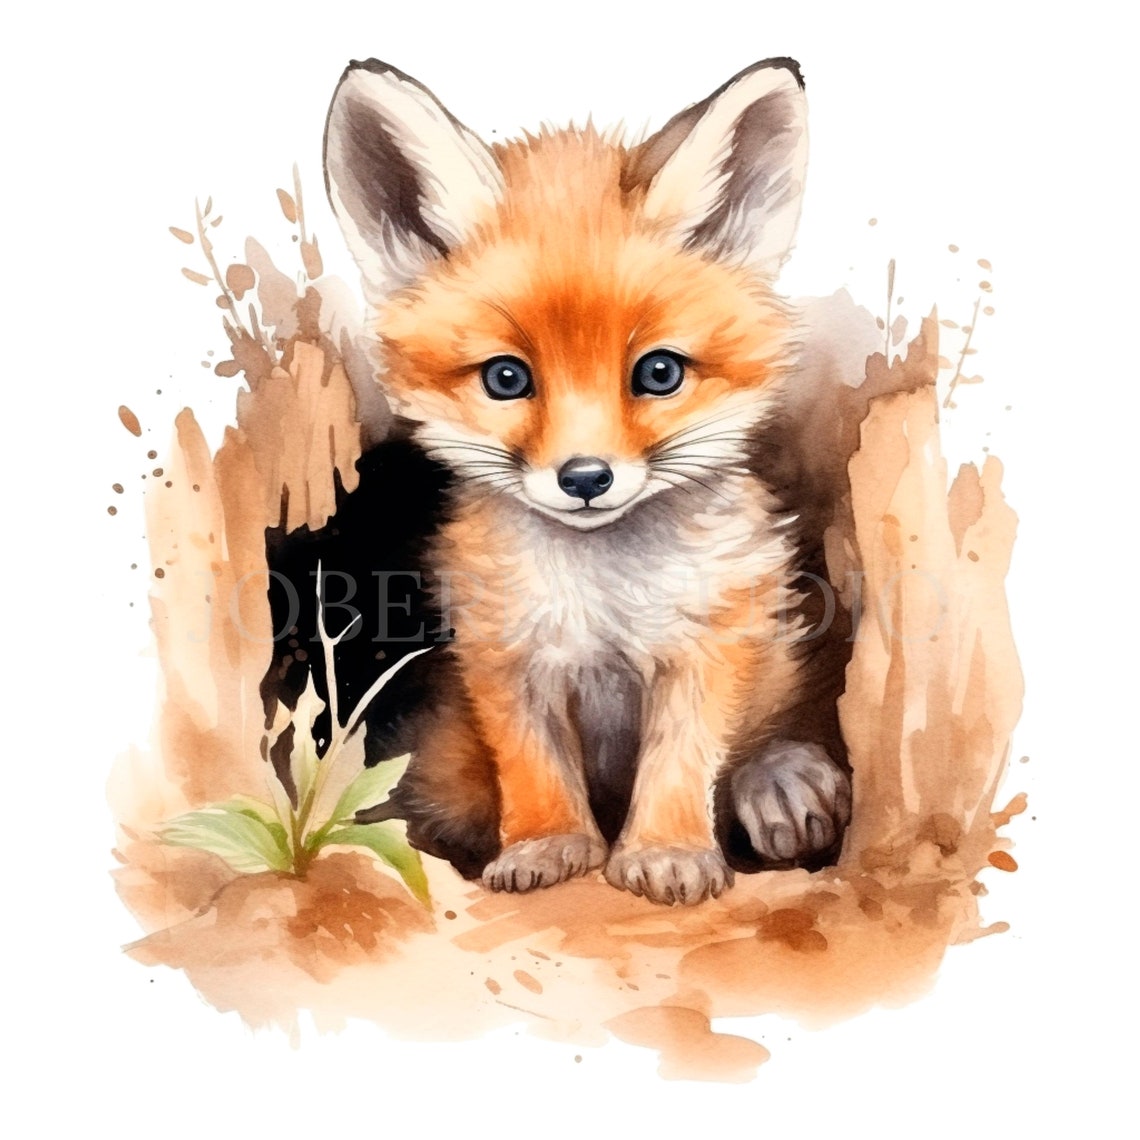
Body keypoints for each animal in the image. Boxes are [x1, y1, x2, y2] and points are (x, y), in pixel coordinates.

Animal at [266, 56, 853, 907]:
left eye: (659, 373)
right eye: (506, 378)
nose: (585, 478)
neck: (602, 598)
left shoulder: (709, 642)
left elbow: (680, 765)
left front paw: (667, 854)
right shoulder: (507, 656)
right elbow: (533, 770)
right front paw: (549, 847)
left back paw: (779, 778)